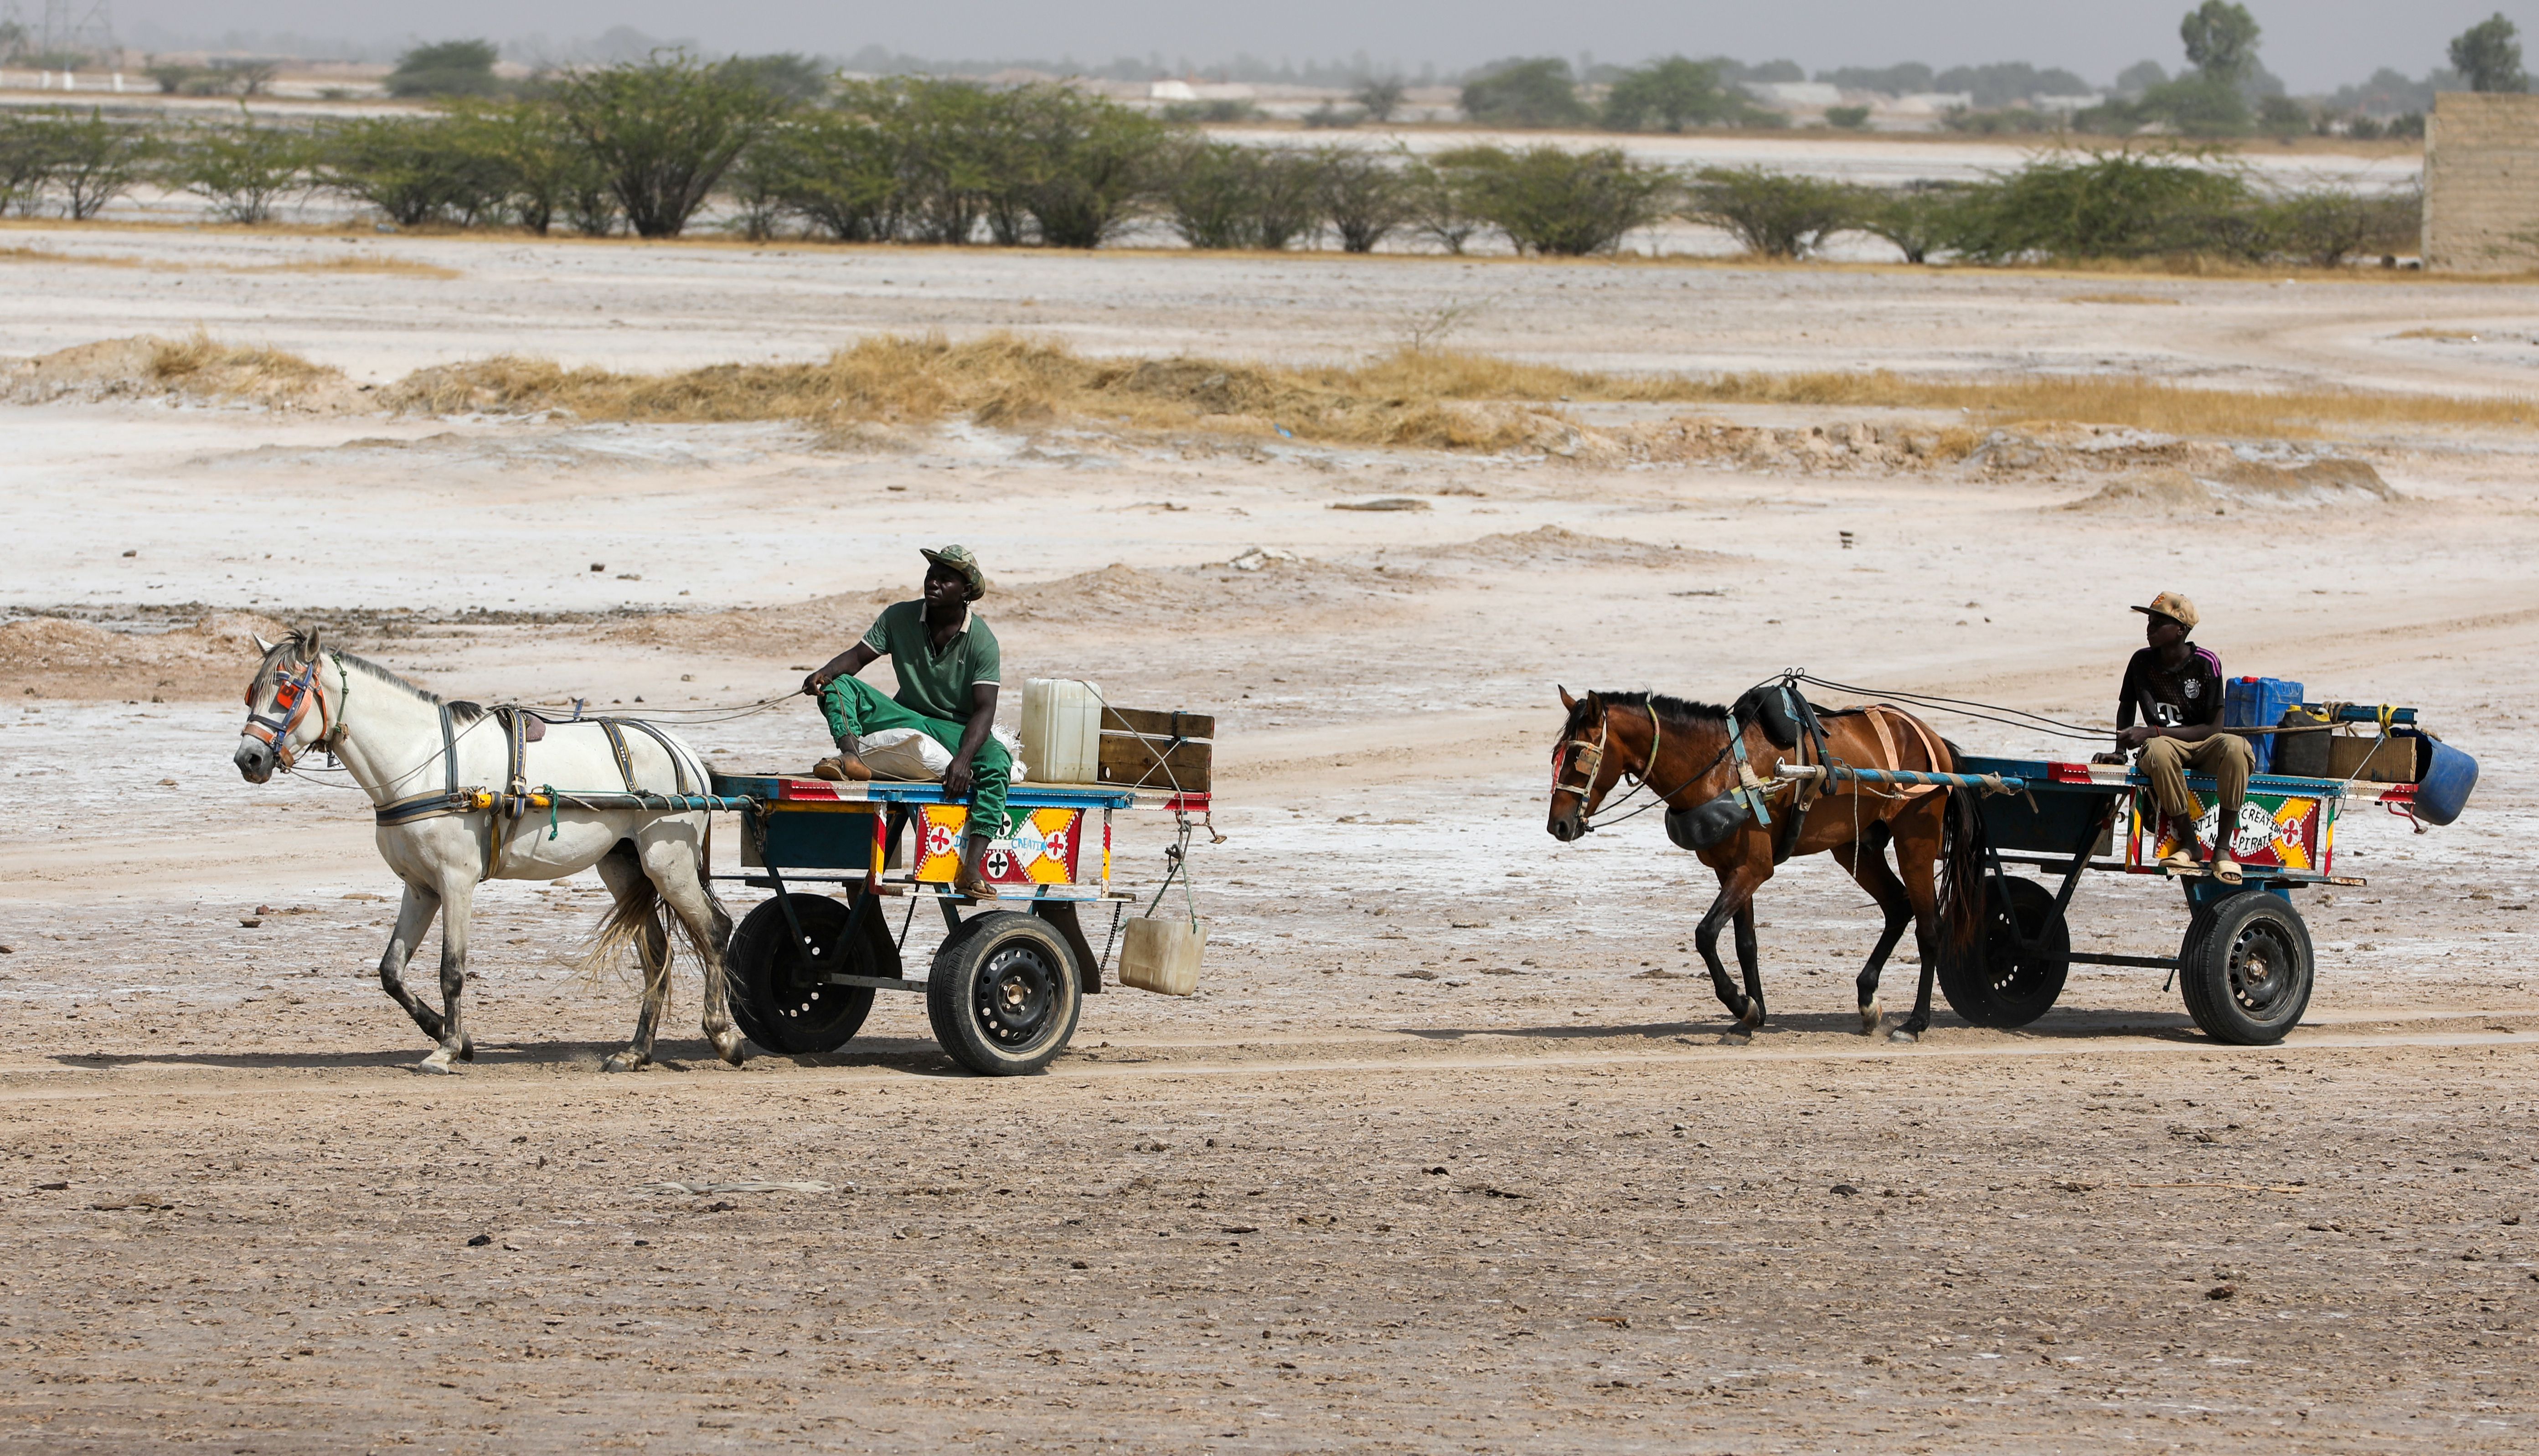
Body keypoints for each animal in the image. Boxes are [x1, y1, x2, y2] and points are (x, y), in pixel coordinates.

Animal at [232, 627, 741, 1074]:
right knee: (657, 952)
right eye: (251, 692)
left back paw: (723, 1036)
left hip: (668, 863)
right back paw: (635, 1052)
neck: (423, 761)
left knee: (715, 931)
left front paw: (447, 1050)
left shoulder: (456, 883)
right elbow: (391, 971)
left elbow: (452, 971)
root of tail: (684, 753)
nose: (248, 759)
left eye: (286, 691)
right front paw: (451, 1035)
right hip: (623, 867)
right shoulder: (421, 888)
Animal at [1545, 685, 1983, 1043]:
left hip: (1915, 842)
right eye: (1554, 756)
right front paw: (1751, 1018)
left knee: (1930, 928)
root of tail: (1928, 735)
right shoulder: (1731, 870)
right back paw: (1868, 999)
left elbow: (1706, 934)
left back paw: (1916, 1022)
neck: (1719, 768)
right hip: (1854, 847)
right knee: (1898, 906)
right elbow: (1746, 944)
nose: (1558, 825)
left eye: (1580, 755)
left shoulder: (1753, 869)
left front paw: (1741, 1004)